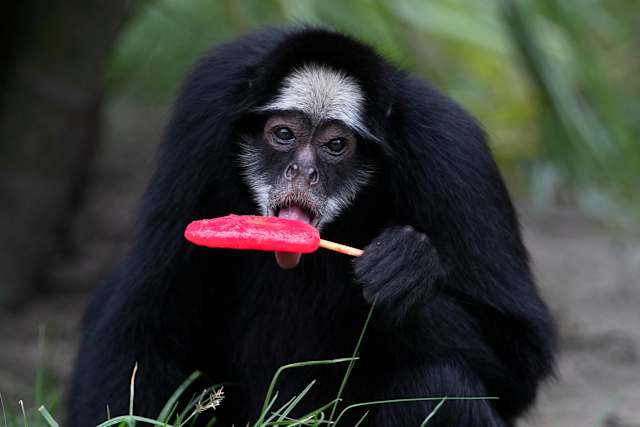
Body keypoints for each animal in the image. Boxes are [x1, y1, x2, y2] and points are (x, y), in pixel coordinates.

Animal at [68, 27, 556, 426]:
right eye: (284, 135)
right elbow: (145, 309)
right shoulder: (206, 104)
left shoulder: (452, 152)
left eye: (336, 145)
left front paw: (406, 271)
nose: (303, 172)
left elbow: (521, 364)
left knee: (438, 385)